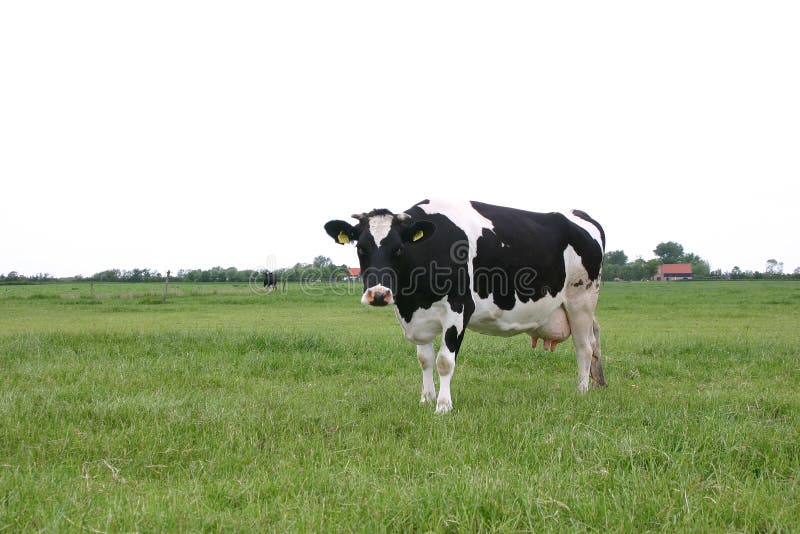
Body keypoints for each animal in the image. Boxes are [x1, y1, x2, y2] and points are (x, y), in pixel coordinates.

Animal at [324, 199, 606, 413]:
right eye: (361, 248)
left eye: (398, 249)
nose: (379, 294)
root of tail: (579, 214)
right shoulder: (418, 317)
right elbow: (424, 359)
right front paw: (426, 399)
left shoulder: (458, 309)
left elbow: (444, 361)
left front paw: (443, 406)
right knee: (593, 340)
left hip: (581, 299)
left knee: (583, 347)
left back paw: (581, 390)